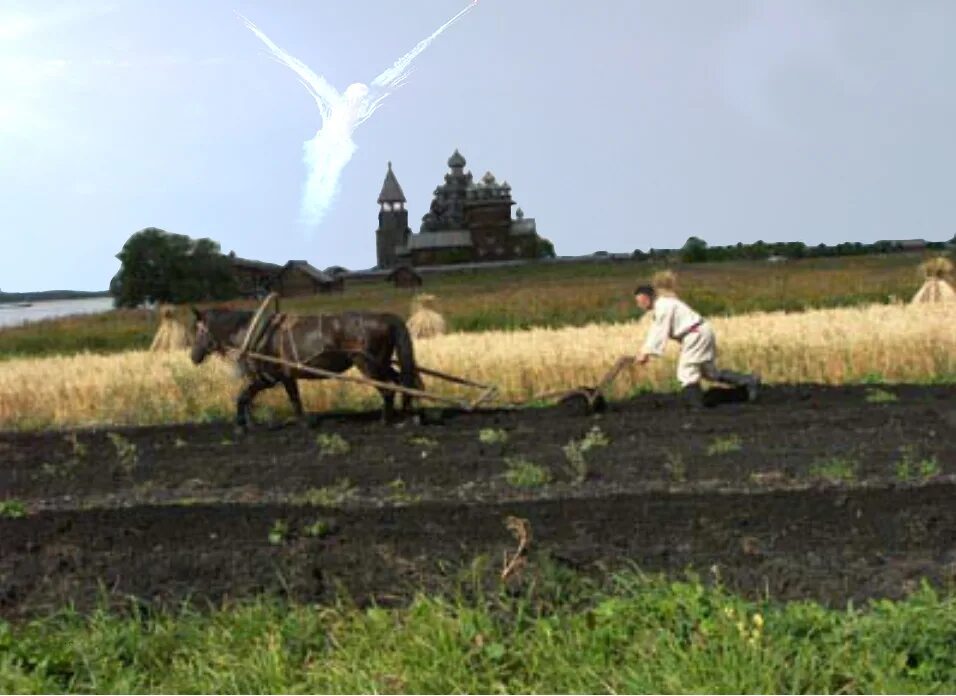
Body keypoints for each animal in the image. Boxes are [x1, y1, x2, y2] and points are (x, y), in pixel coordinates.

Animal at [189, 308, 420, 432]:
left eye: (199, 331)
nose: (193, 357)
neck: (255, 334)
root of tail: (385, 317)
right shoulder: (281, 377)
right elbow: (286, 399)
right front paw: (249, 424)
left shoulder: (271, 377)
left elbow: (245, 396)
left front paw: (240, 426)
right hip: (382, 363)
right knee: (401, 382)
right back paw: (406, 413)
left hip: (368, 365)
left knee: (388, 390)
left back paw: (384, 421)